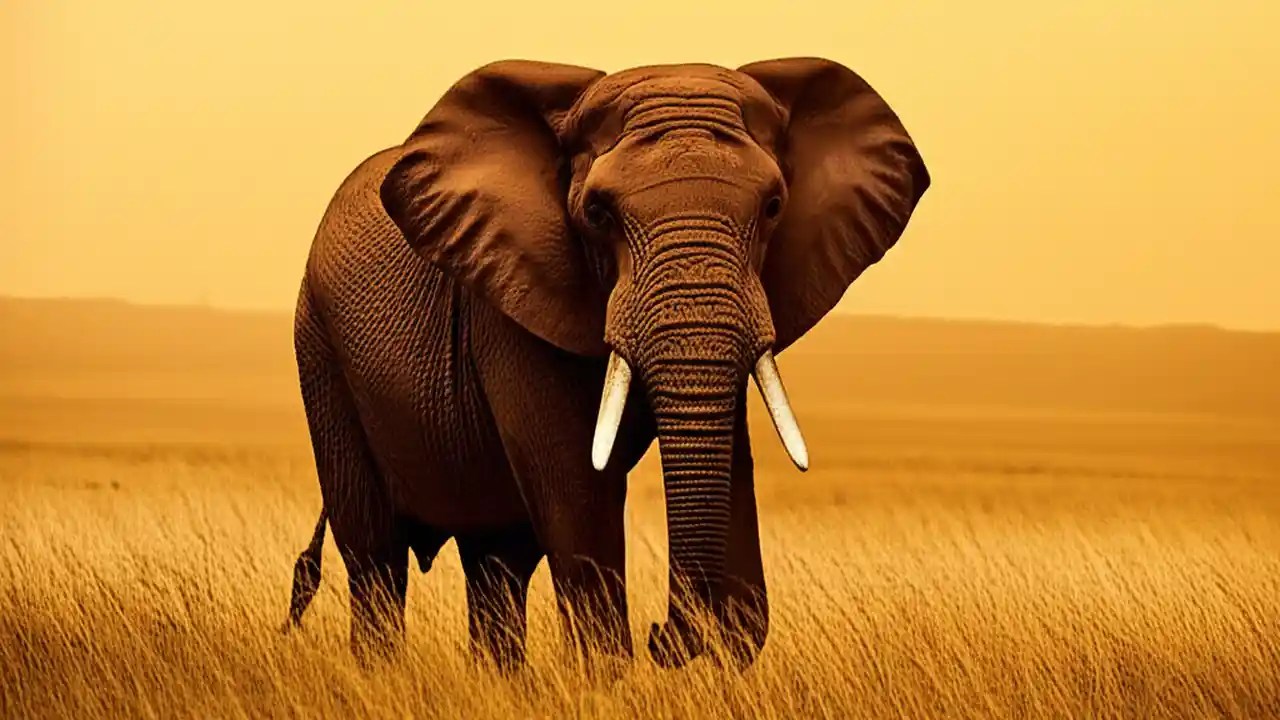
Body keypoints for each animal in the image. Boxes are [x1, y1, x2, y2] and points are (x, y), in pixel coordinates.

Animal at [282, 57, 929, 671]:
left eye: (773, 208)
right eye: (597, 213)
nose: (662, 635)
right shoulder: (512, 307)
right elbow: (578, 487)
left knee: (495, 564)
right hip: (320, 349)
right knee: (375, 559)